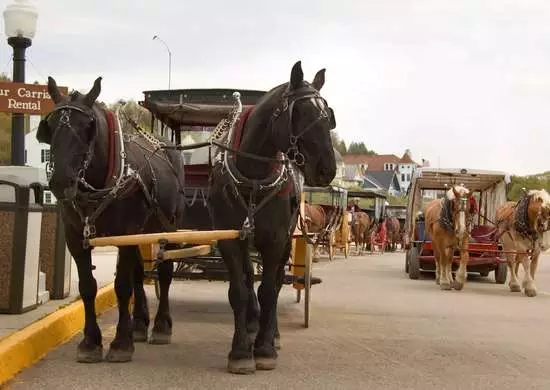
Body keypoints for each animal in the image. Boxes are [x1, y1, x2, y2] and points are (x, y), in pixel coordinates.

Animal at [36, 76, 183, 362]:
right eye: (50, 125)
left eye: (88, 126)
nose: (60, 181)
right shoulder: (76, 238)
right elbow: (88, 287)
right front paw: (91, 342)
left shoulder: (125, 234)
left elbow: (122, 285)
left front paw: (121, 343)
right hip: (142, 232)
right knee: (139, 272)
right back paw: (139, 324)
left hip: (168, 225)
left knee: (165, 272)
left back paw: (161, 325)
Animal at [207, 61, 336, 374]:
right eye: (300, 113)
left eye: (329, 116)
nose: (327, 169)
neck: (253, 178)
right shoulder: (230, 239)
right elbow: (239, 290)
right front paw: (241, 351)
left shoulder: (276, 241)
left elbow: (269, 290)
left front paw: (264, 348)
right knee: (248, 277)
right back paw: (253, 324)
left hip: (287, 239)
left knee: (275, 283)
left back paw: (271, 333)